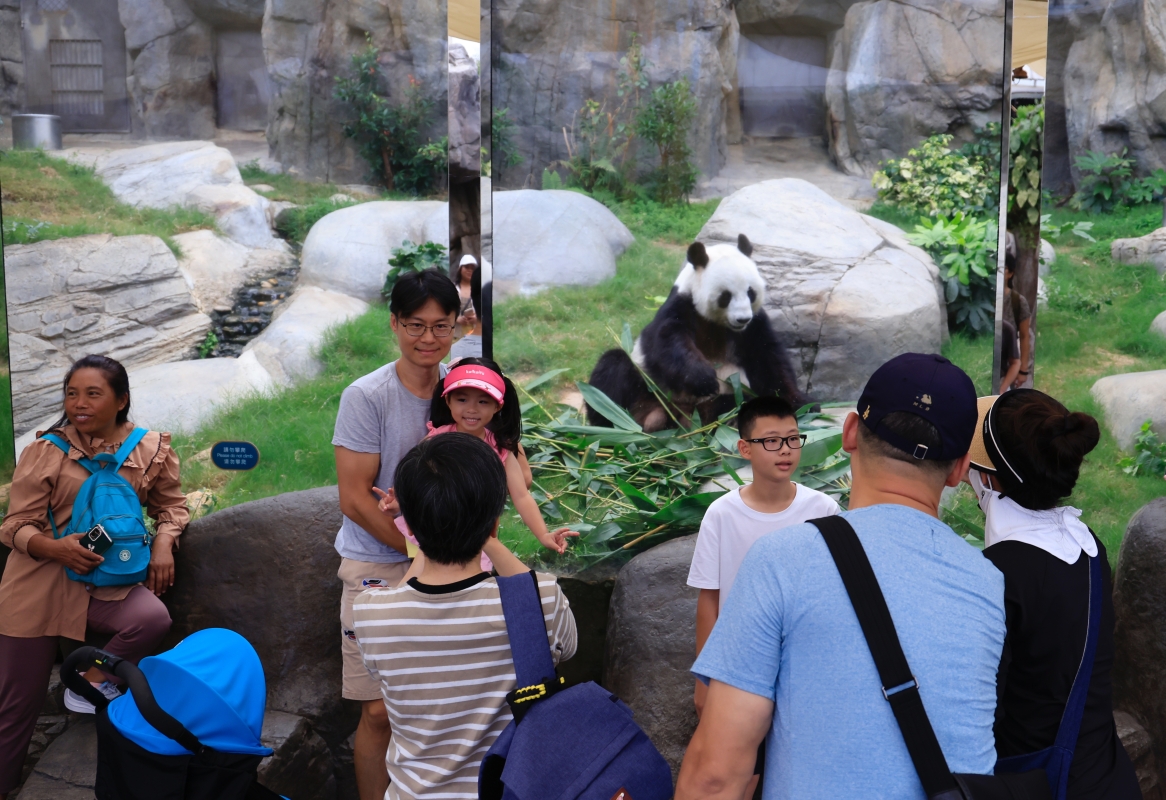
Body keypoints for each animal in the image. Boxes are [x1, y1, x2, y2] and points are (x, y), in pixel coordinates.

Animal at [587, 233, 806, 432]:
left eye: (750, 292)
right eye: (726, 296)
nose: (742, 319)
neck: (718, 323)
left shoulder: (754, 326)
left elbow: (769, 360)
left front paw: (800, 402)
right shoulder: (681, 308)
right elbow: (668, 344)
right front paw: (705, 379)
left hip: (724, 399)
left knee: (740, 402)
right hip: (647, 387)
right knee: (613, 369)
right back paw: (610, 425)